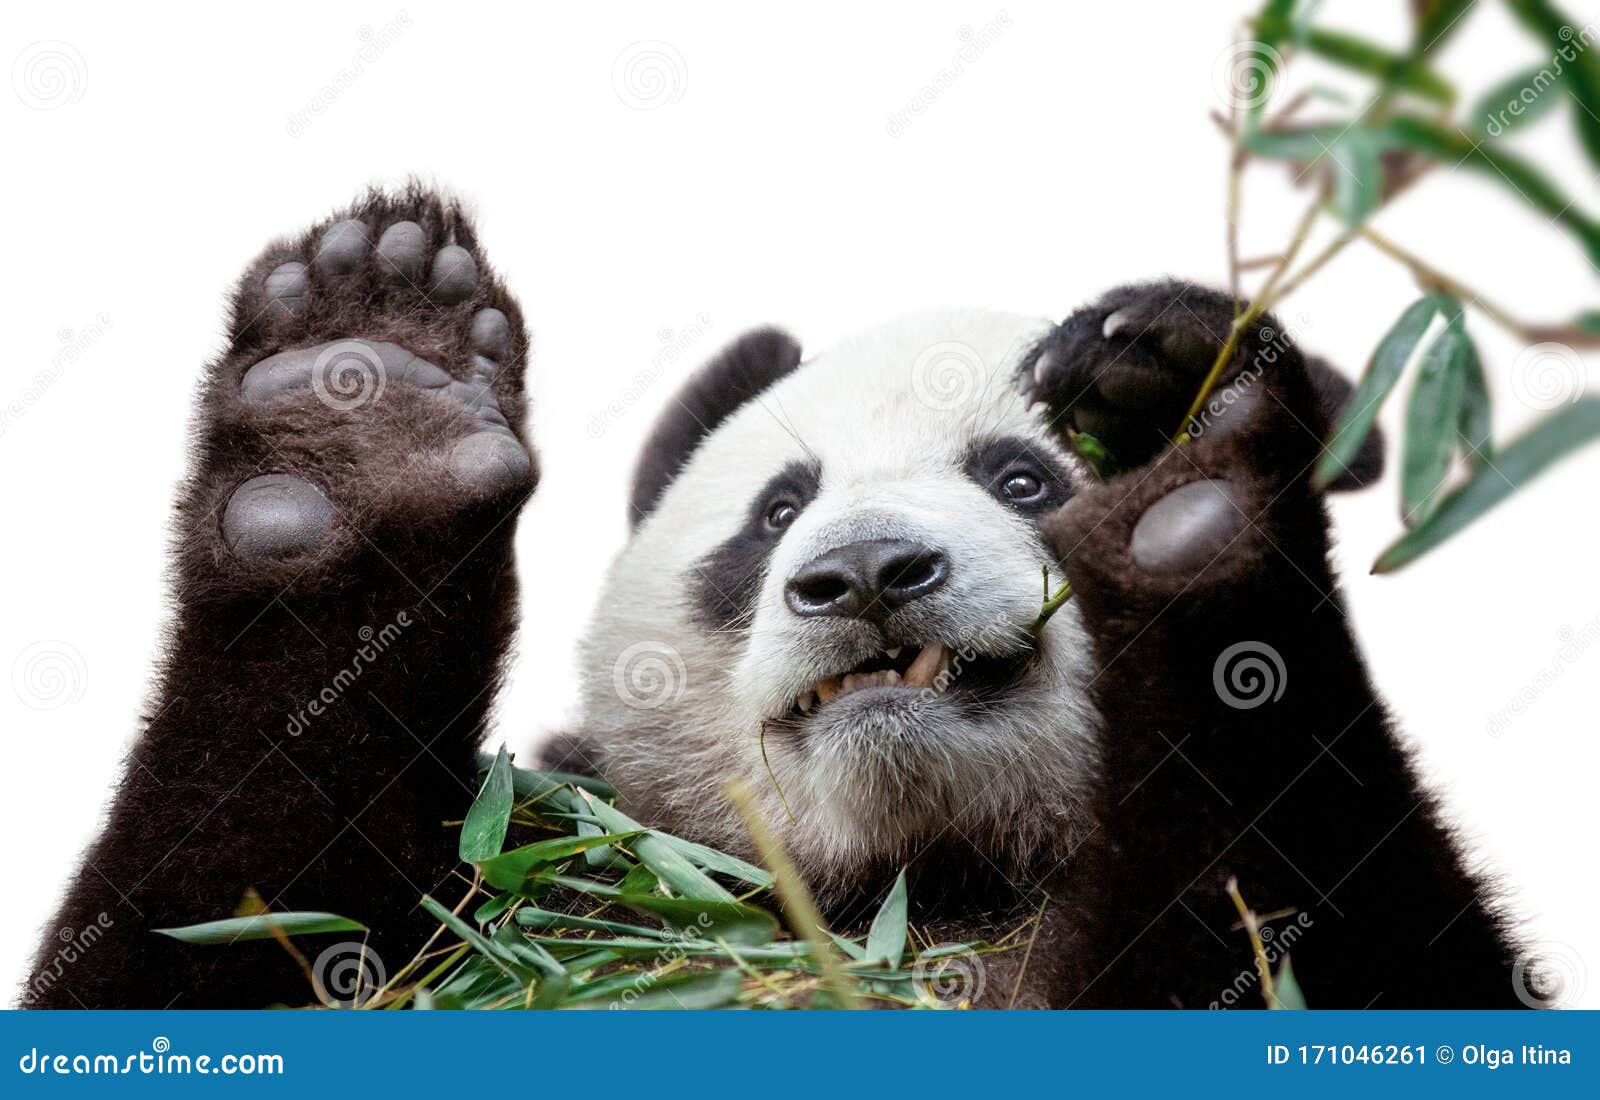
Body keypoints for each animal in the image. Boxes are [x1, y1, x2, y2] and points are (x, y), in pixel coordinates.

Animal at [27, 187, 1526, 1009]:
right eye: (775, 511)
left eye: (1024, 477)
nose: (866, 574)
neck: (917, 882)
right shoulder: (578, 870)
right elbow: (212, 938)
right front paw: (367, 405)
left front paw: (1181, 434)